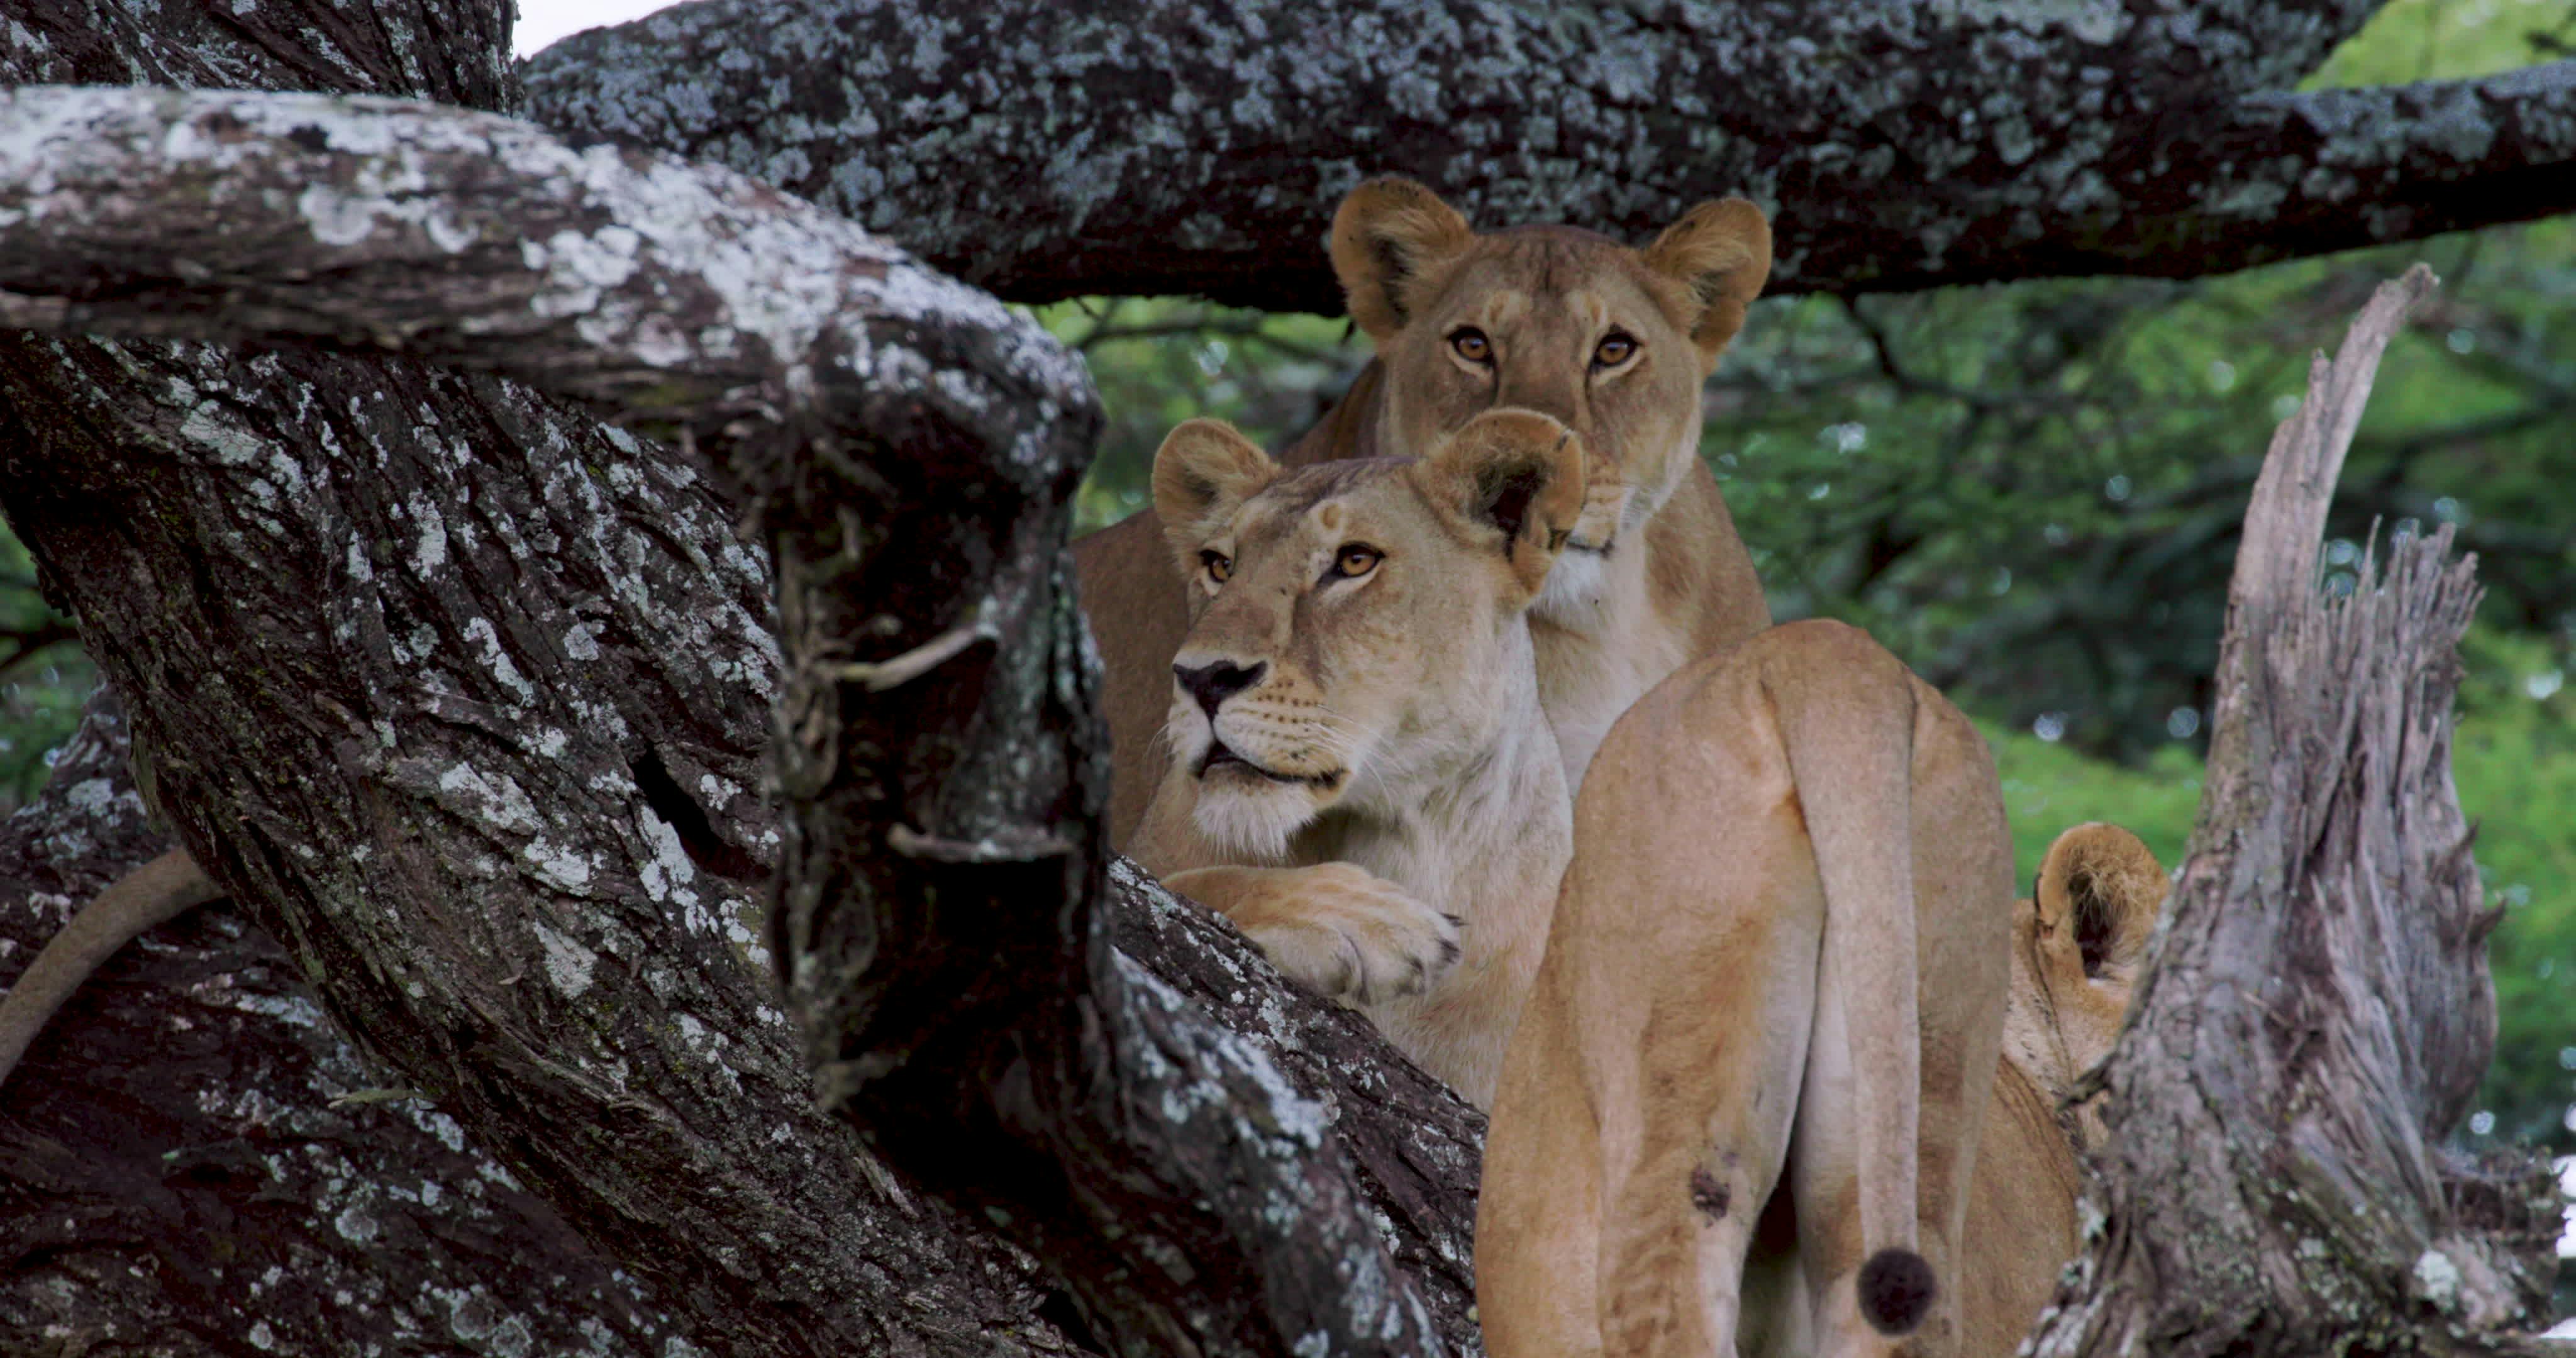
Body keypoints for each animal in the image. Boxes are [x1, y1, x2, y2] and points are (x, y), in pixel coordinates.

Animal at [1129, 408, 1591, 1109]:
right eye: (1219, 565)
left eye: (1354, 561)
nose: (1202, 678)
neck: (1407, 835)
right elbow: (1193, 884)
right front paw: (1356, 918)